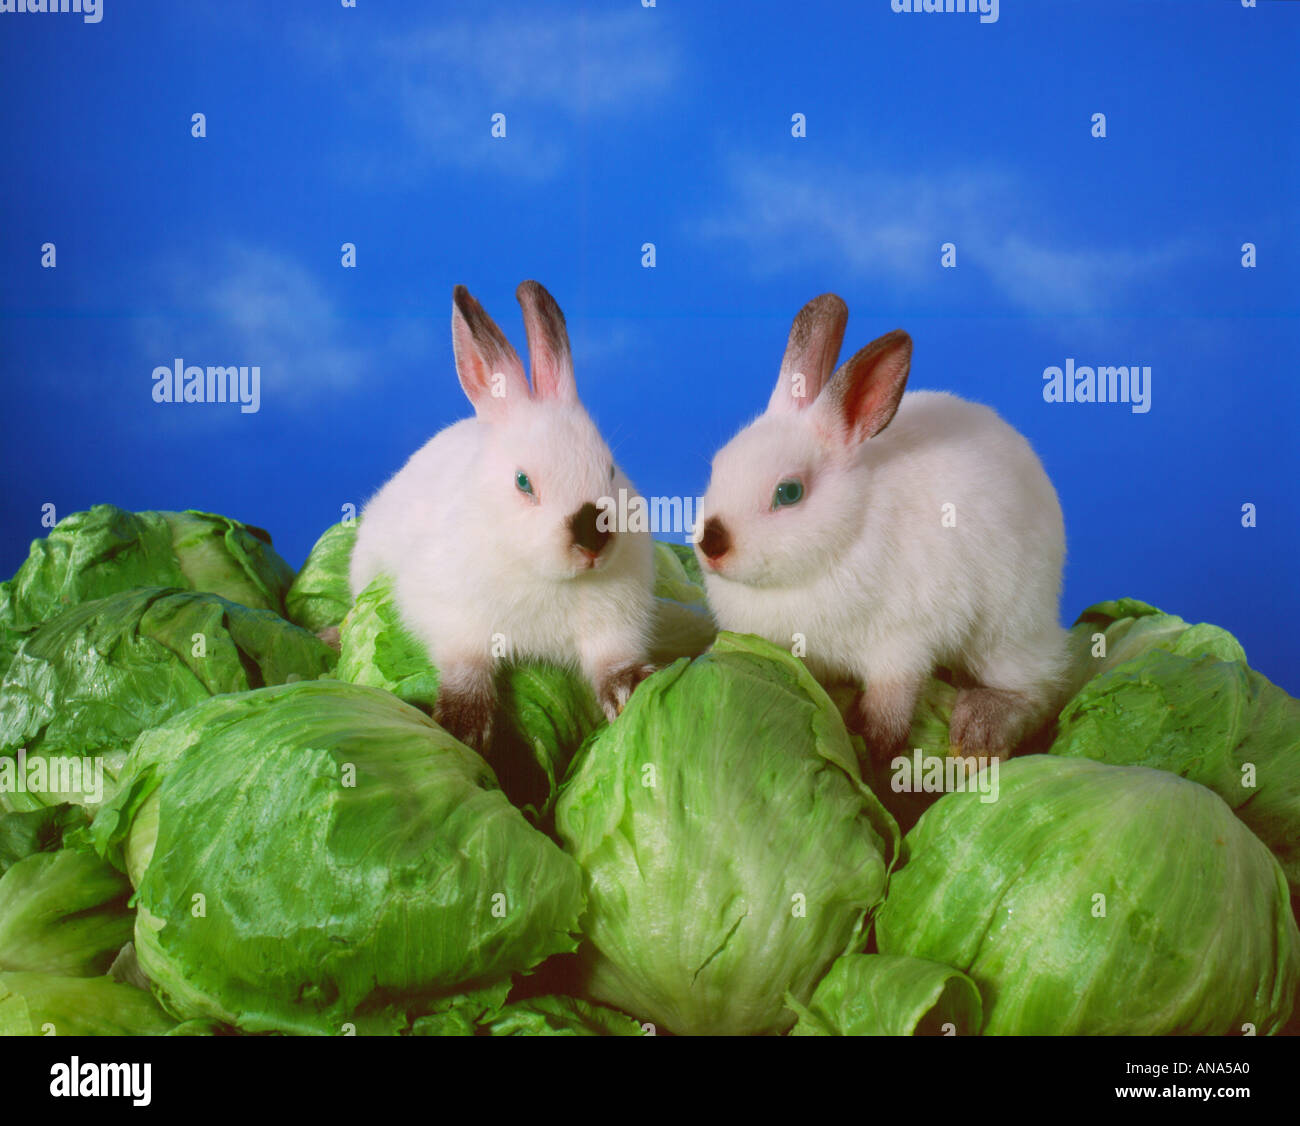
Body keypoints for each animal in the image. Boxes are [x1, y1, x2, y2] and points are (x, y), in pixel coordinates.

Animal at [349, 281, 656, 751]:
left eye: (609, 469)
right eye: (523, 482)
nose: (592, 541)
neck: (547, 578)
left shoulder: (615, 627)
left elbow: (612, 660)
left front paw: (632, 689)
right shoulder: (452, 617)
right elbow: (465, 663)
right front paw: (464, 723)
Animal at [694, 294, 1070, 760]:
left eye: (789, 492)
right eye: (717, 466)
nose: (711, 543)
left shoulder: (901, 643)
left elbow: (891, 701)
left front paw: (873, 746)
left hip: (1009, 630)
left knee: (1039, 688)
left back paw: (980, 728)